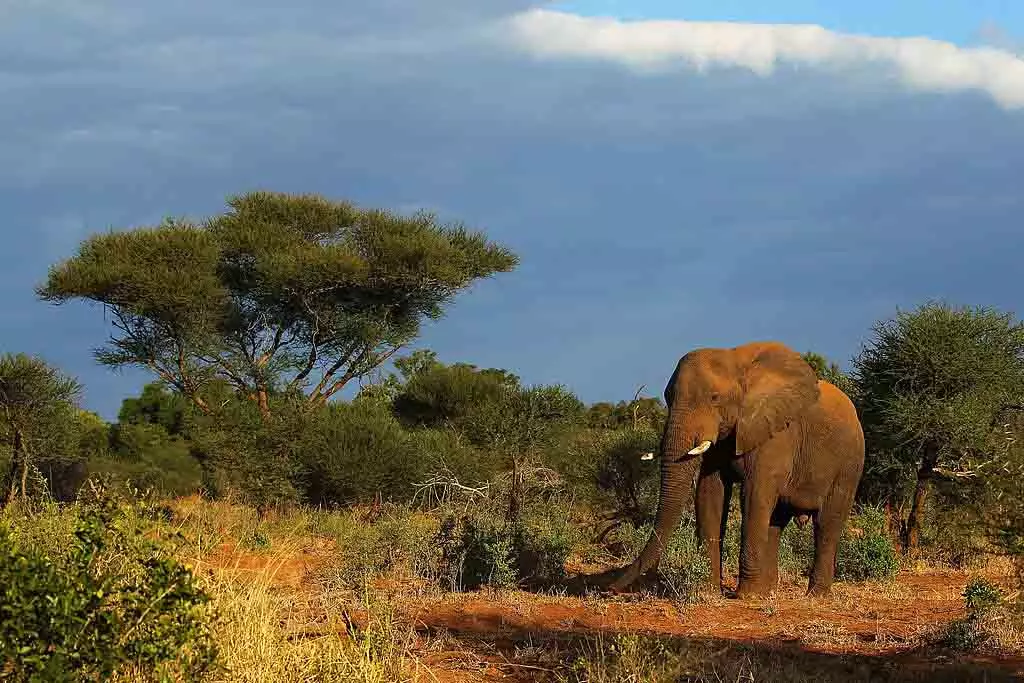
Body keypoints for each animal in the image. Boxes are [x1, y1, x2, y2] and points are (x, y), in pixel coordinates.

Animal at [598, 342, 864, 598]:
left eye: (715, 397)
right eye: (667, 397)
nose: (609, 590)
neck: (738, 363)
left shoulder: (776, 433)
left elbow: (755, 495)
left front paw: (745, 597)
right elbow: (710, 492)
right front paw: (708, 591)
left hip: (849, 466)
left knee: (826, 525)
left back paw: (814, 597)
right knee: (776, 523)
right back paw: (767, 593)